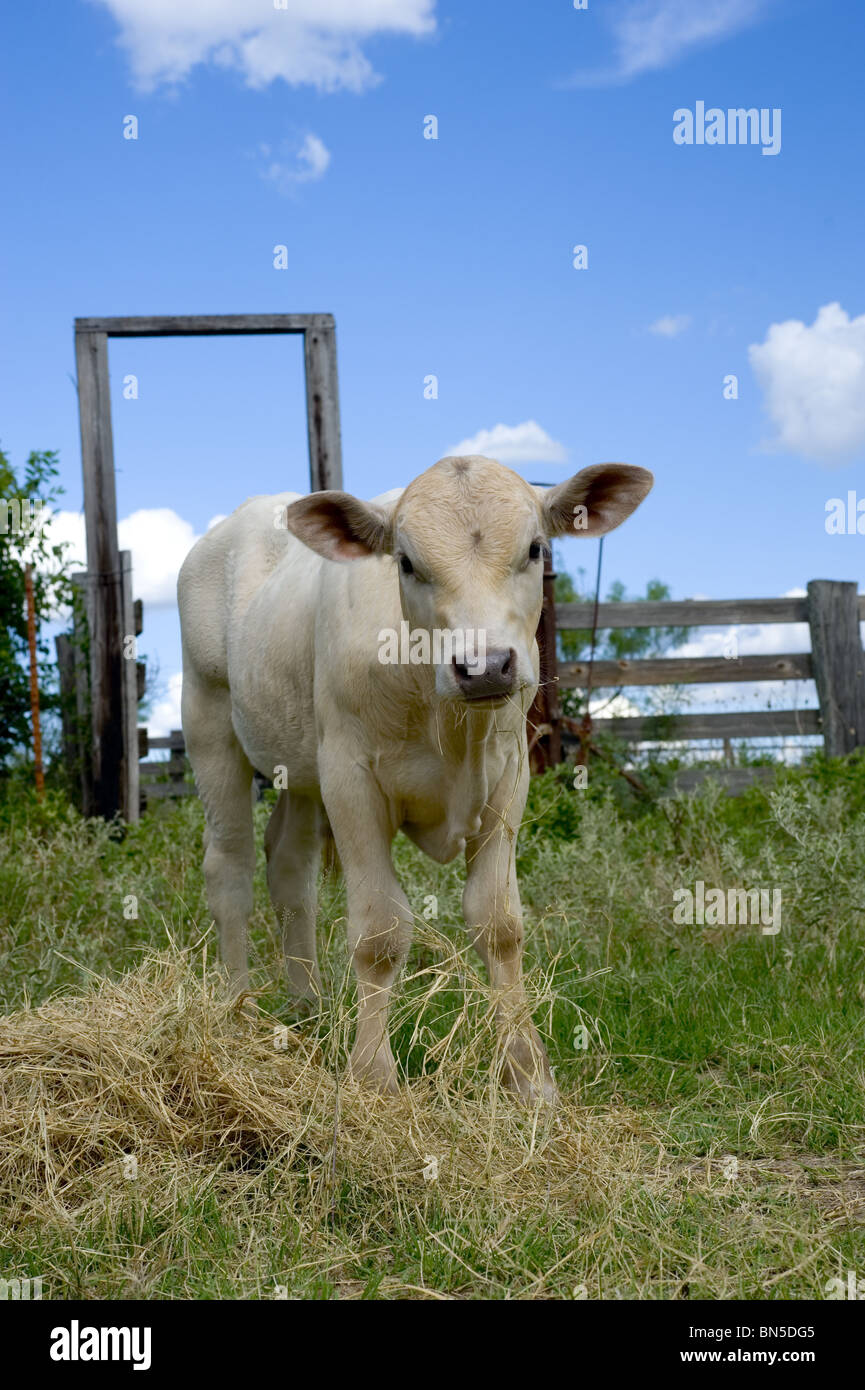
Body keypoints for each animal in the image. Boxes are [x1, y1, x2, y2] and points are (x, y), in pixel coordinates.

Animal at [178, 454, 652, 1103]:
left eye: (535, 549)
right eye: (405, 562)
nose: (485, 666)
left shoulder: (509, 775)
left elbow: (499, 922)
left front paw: (529, 1076)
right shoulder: (349, 776)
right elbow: (380, 932)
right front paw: (372, 1078)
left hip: (298, 763)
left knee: (290, 867)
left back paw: (306, 1006)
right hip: (210, 720)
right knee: (230, 870)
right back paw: (237, 1012)